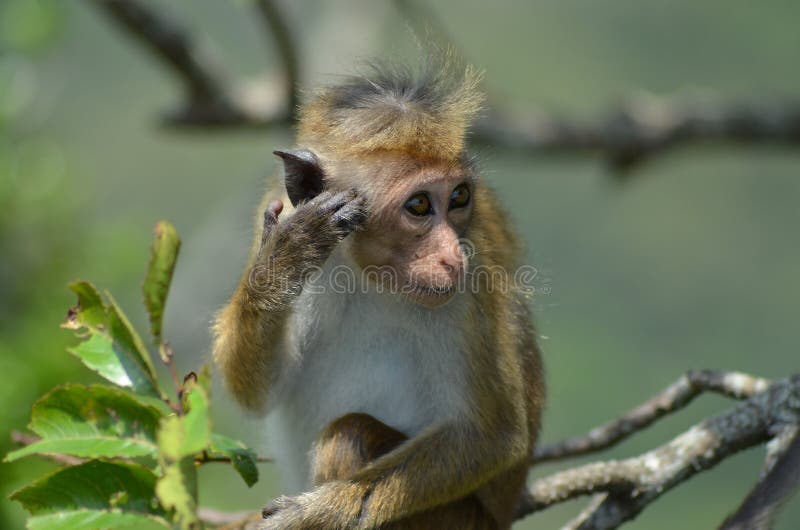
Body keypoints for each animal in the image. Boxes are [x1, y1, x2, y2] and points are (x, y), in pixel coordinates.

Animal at [212, 57, 544, 530]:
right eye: (419, 205)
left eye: (459, 197)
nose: (452, 257)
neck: (370, 275)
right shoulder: (284, 206)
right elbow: (259, 390)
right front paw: (285, 258)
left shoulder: (472, 287)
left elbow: (490, 436)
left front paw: (316, 514)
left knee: (348, 434)